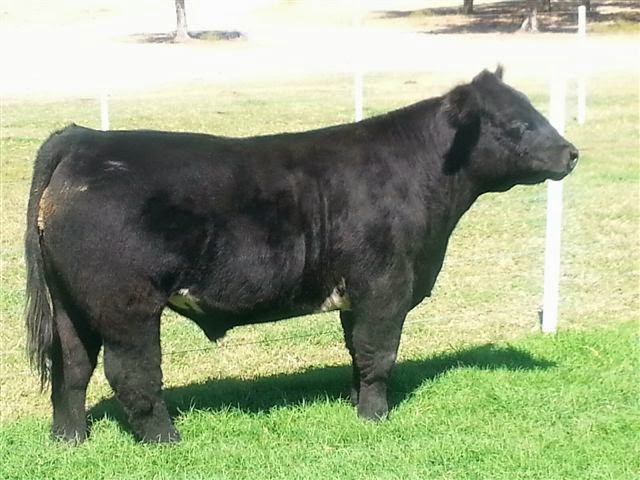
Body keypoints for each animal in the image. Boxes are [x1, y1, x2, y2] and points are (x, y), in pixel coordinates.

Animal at [25, 67, 578, 443]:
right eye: (516, 123)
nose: (571, 153)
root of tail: (84, 138)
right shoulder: (386, 286)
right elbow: (380, 353)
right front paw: (375, 418)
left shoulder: (358, 294)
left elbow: (358, 352)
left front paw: (357, 404)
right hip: (126, 305)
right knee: (131, 373)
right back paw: (166, 440)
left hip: (70, 304)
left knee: (71, 366)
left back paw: (69, 439)